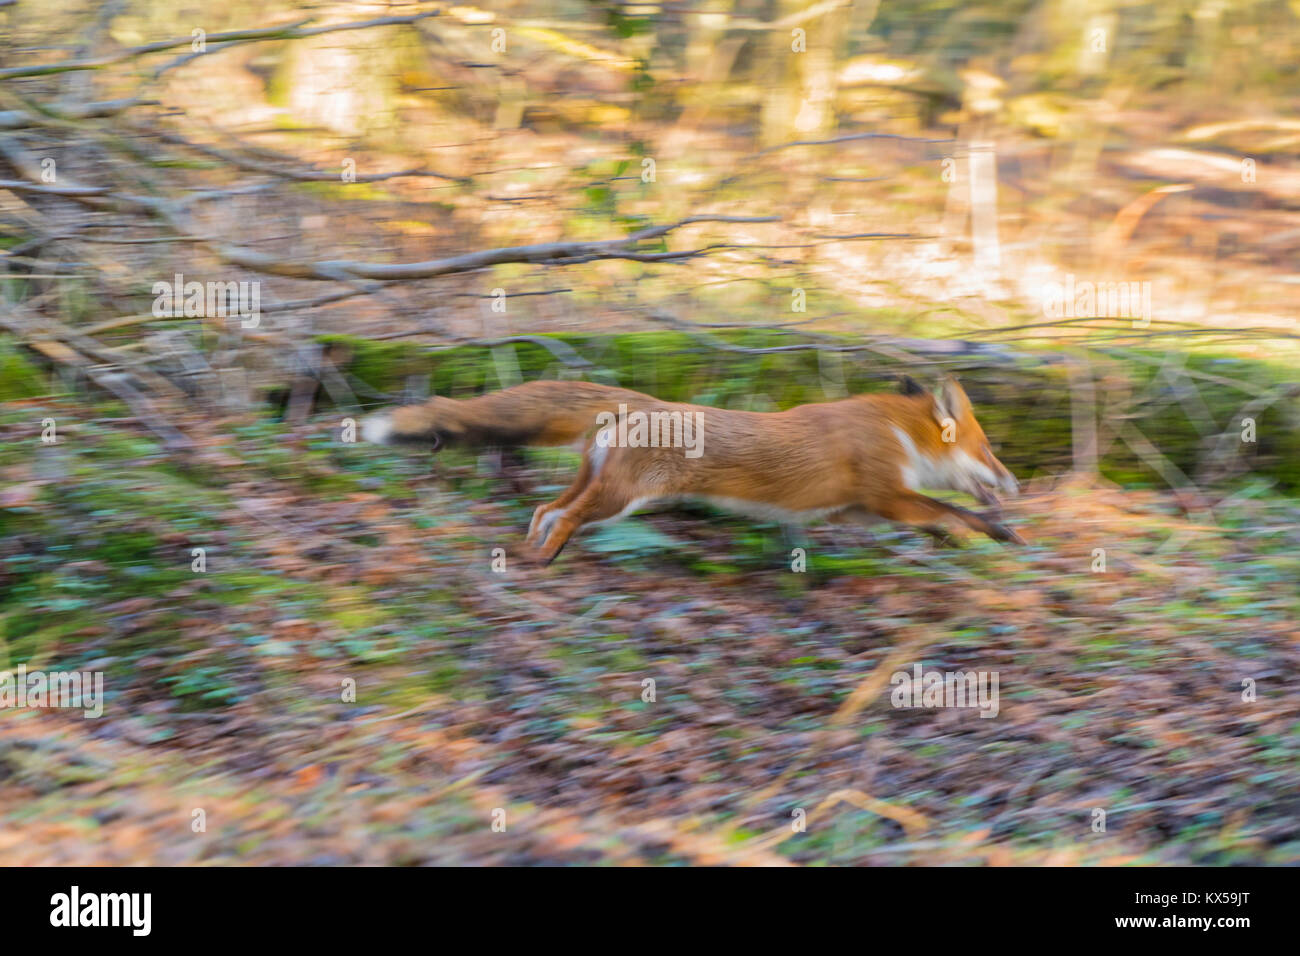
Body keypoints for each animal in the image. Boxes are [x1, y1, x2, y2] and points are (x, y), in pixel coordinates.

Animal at [361, 375, 1024, 564]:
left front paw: (974, 534)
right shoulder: (885, 496)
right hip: (617, 500)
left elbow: (943, 516)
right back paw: (545, 563)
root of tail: (643, 401)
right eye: (990, 450)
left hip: (597, 487)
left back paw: (529, 551)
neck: (893, 432)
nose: (1015, 483)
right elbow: (951, 508)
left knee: (545, 508)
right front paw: (993, 531)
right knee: (565, 518)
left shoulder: (859, 510)